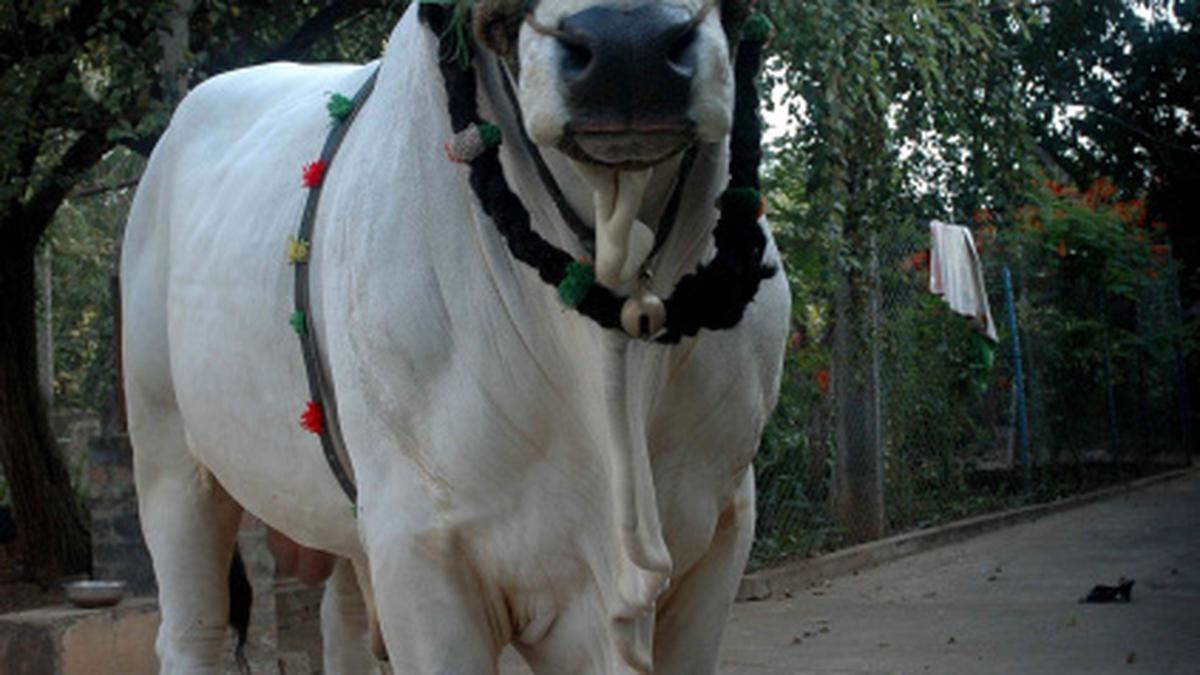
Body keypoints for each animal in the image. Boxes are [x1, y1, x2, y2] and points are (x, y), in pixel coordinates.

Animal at [120, 0, 789, 673]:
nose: (630, 47)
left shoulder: (723, 523)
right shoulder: (420, 551)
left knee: (342, 624)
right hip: (167, 455)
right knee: (191, 629)